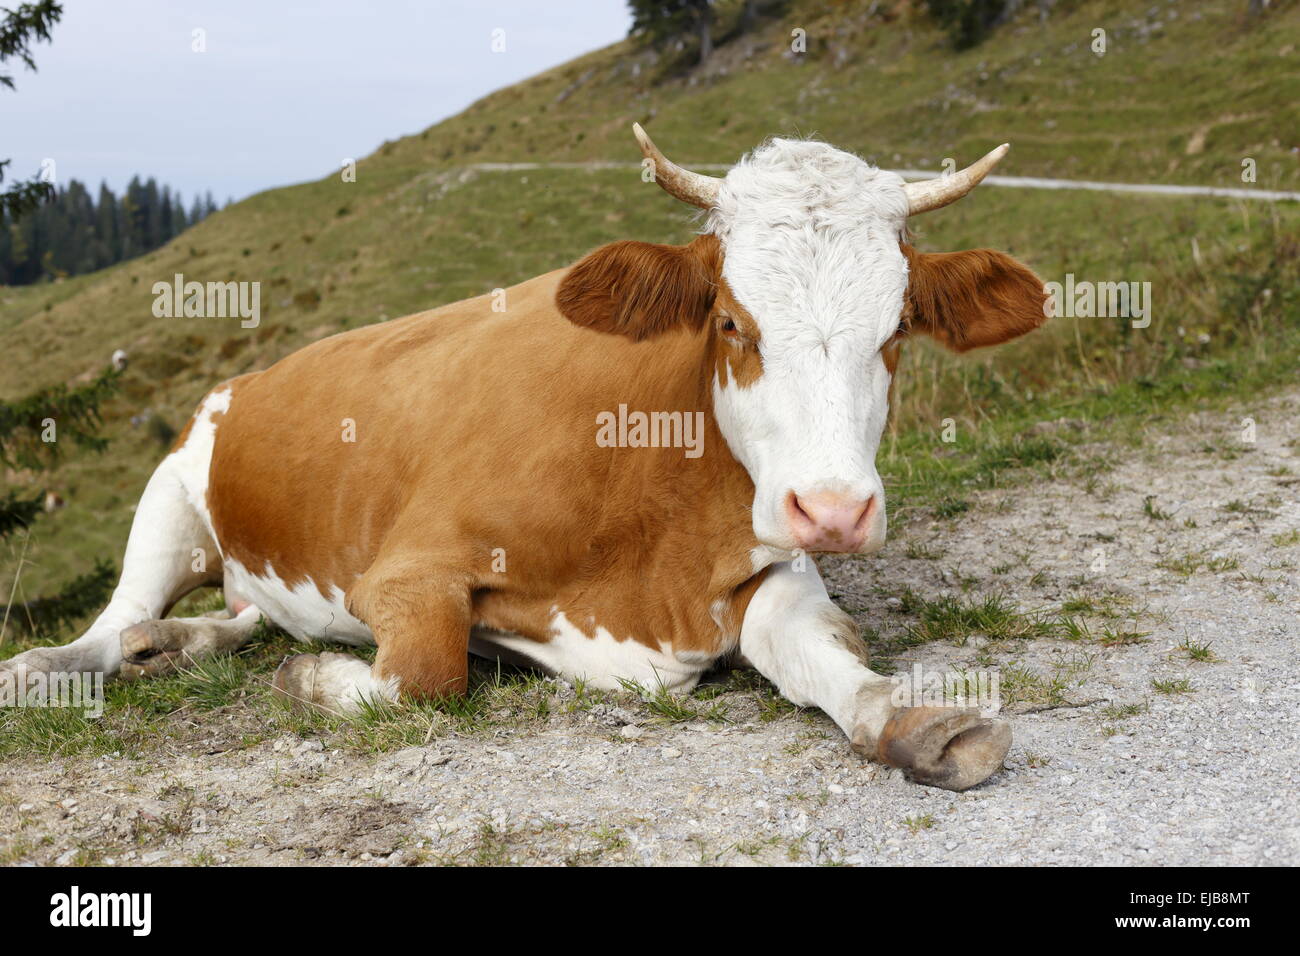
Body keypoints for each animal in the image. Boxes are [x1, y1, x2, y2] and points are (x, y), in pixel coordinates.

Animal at [0, 128, 1049, 790]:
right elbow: (428, 672)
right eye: (729, 321)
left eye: (898, 329)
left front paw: (915, 717)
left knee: (237, 617)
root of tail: (259, 369)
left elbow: (827, 651)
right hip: (173, 491)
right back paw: (58, 663)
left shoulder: (763, 566)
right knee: (114, 616)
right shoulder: (408, 569)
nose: (832, 510)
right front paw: (314, 684)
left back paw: (174, 647)